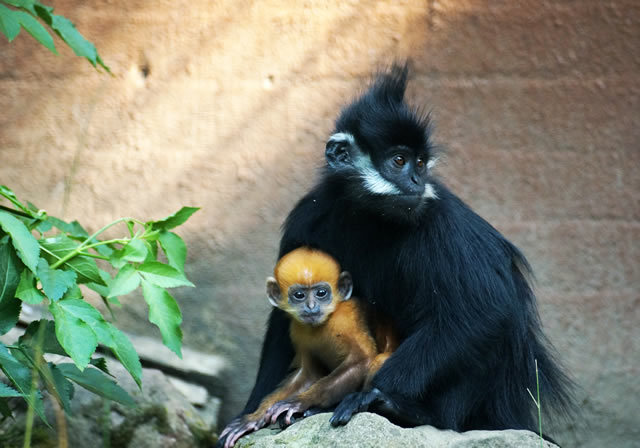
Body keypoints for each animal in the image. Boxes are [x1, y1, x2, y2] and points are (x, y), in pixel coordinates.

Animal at [218, 247, 397, 448]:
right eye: (299, 295)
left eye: (321, 293)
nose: (311, 307)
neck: (323, 323)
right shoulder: (297, 331)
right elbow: (309, 373)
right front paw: (254, 417)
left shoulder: (345, 320)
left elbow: (362, 359)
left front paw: (300, 402)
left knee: (380, 359)